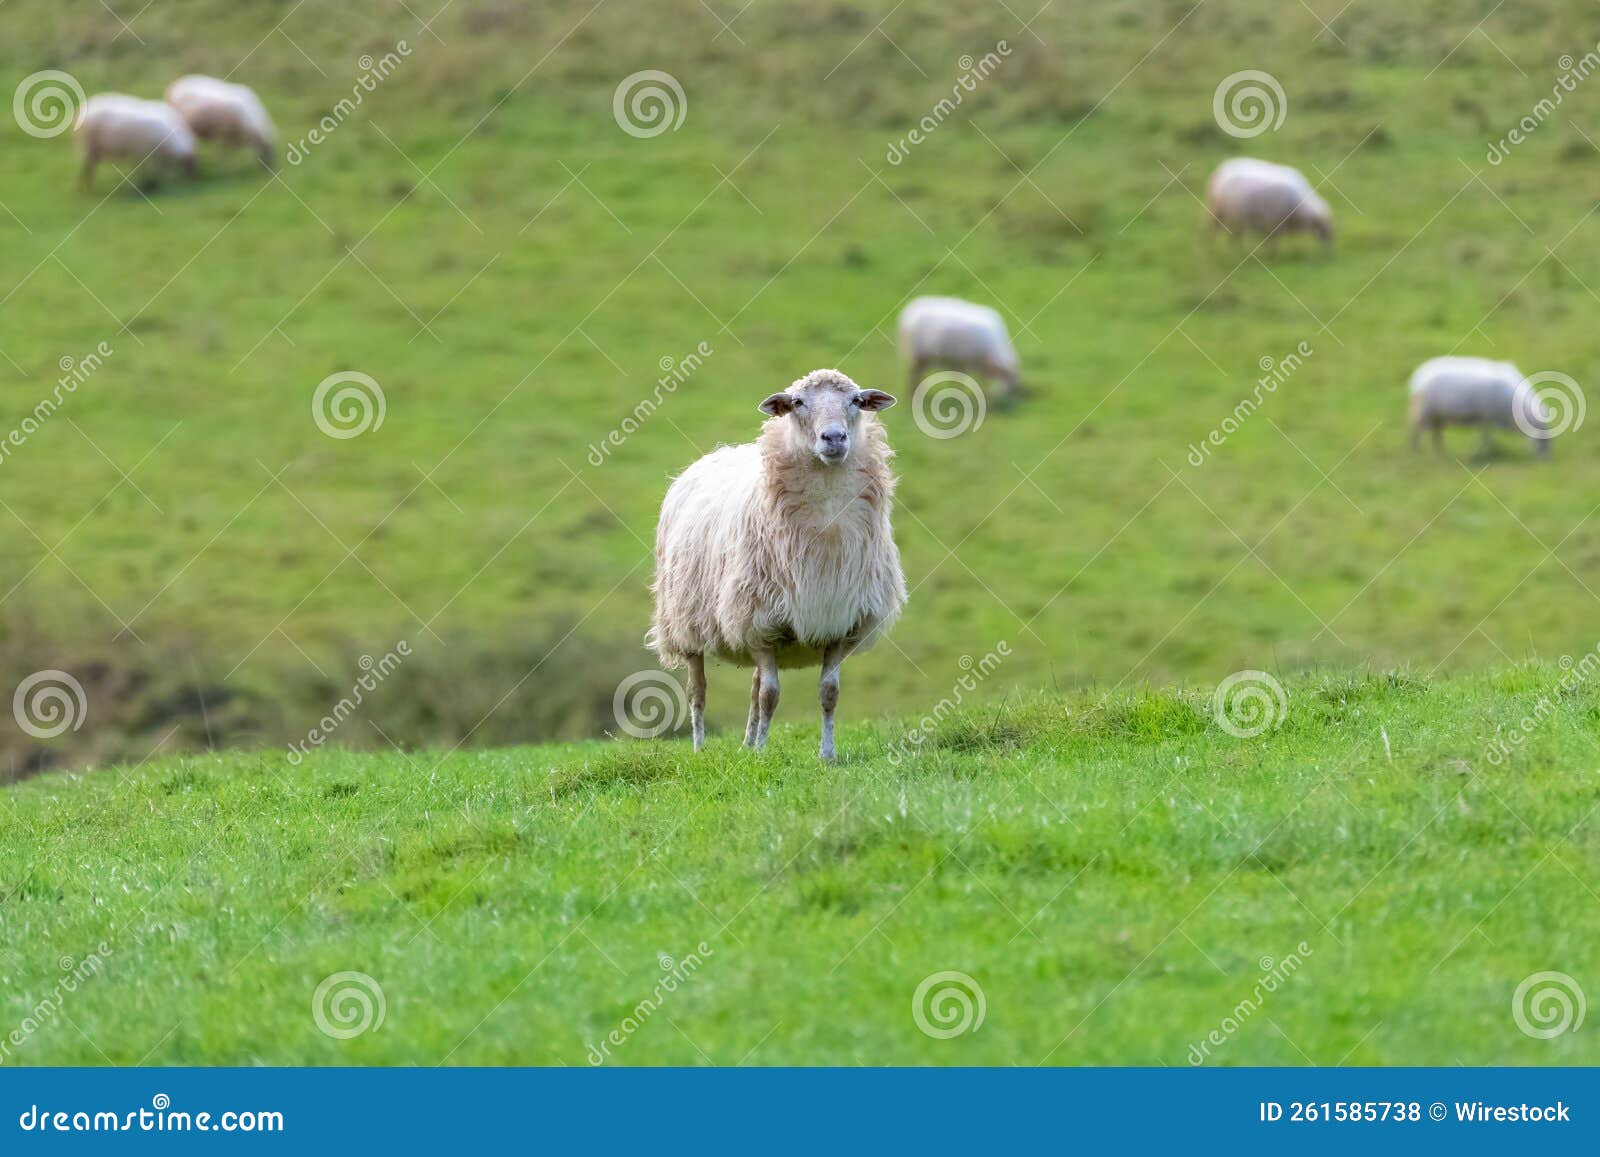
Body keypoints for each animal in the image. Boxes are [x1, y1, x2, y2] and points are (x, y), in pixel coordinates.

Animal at [649, 368, 907, 760]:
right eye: (798, 402)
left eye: (856, 401)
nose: (834, 437)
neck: (826, 528)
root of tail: (719, 453)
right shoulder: (759, 624)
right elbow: (770, 696)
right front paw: (761, 754)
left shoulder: (839, 622)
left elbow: (827, 694)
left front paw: (826, 755)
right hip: (684, 622)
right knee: (699, 691)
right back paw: (700, 747)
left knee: (754, 687)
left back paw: (746, 741)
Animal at [1408, 357, 1554, 459]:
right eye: (1542, 438)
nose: (1545, 461)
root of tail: (1418, 376)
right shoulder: (1487, 418)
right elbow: (1485, 439)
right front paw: (1480, 454)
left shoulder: (1487, 419)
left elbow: (1486, 438)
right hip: (1423, 412)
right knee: (1415, 432)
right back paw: (1415, 454)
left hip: (1437, 416)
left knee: (1436, 436)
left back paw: (1442, 455)